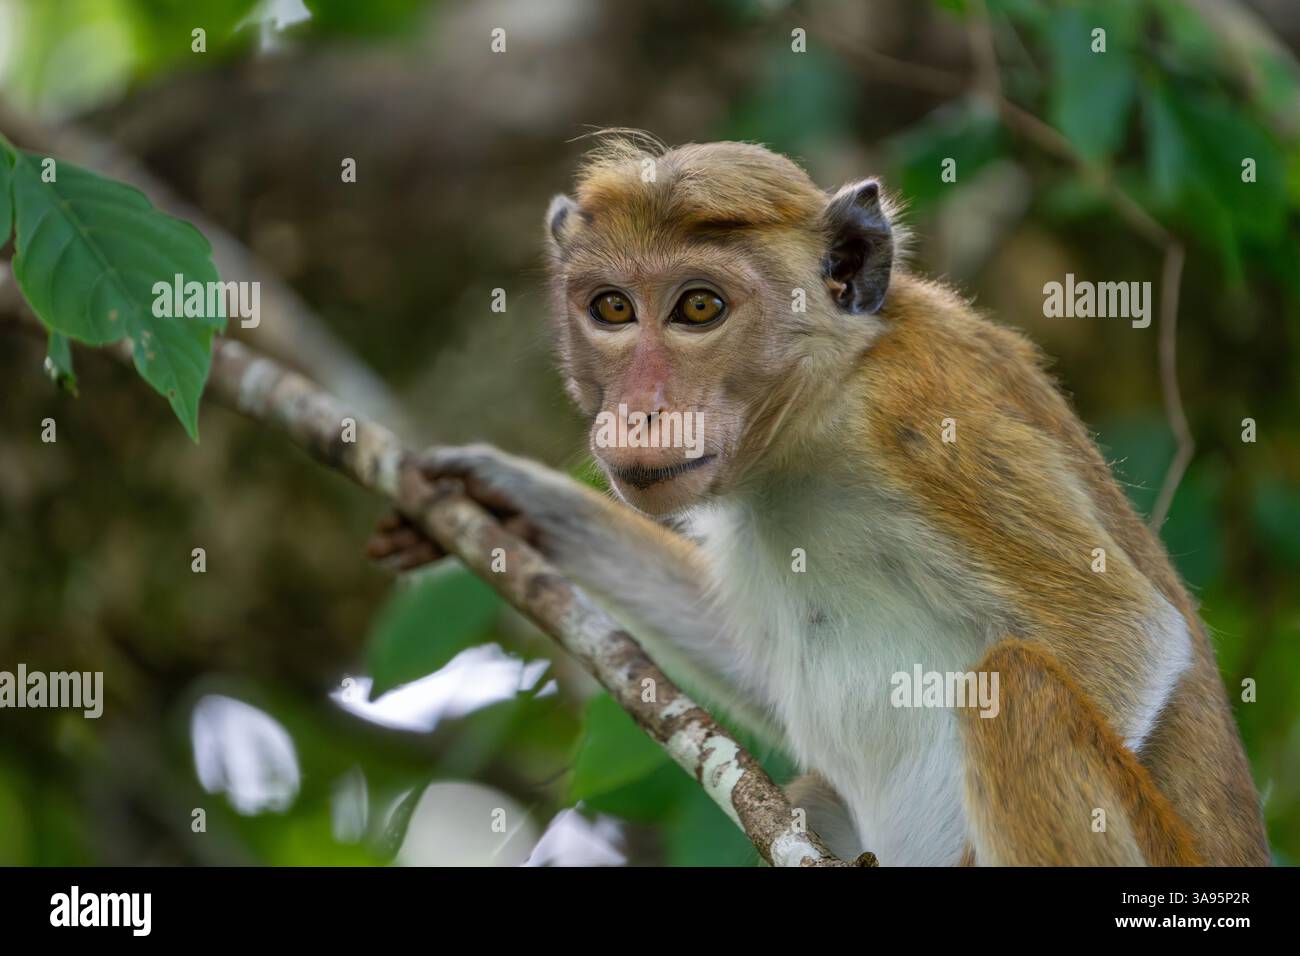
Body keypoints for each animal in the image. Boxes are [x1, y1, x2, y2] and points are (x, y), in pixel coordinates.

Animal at [369, 135, 1270, 866]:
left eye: (699, 307)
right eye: (612, 308)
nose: (641, 411)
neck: (812, 422)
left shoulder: (921, 428)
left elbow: (1125, 630)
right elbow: (752, 665)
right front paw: (507, 490)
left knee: (1021, 688)